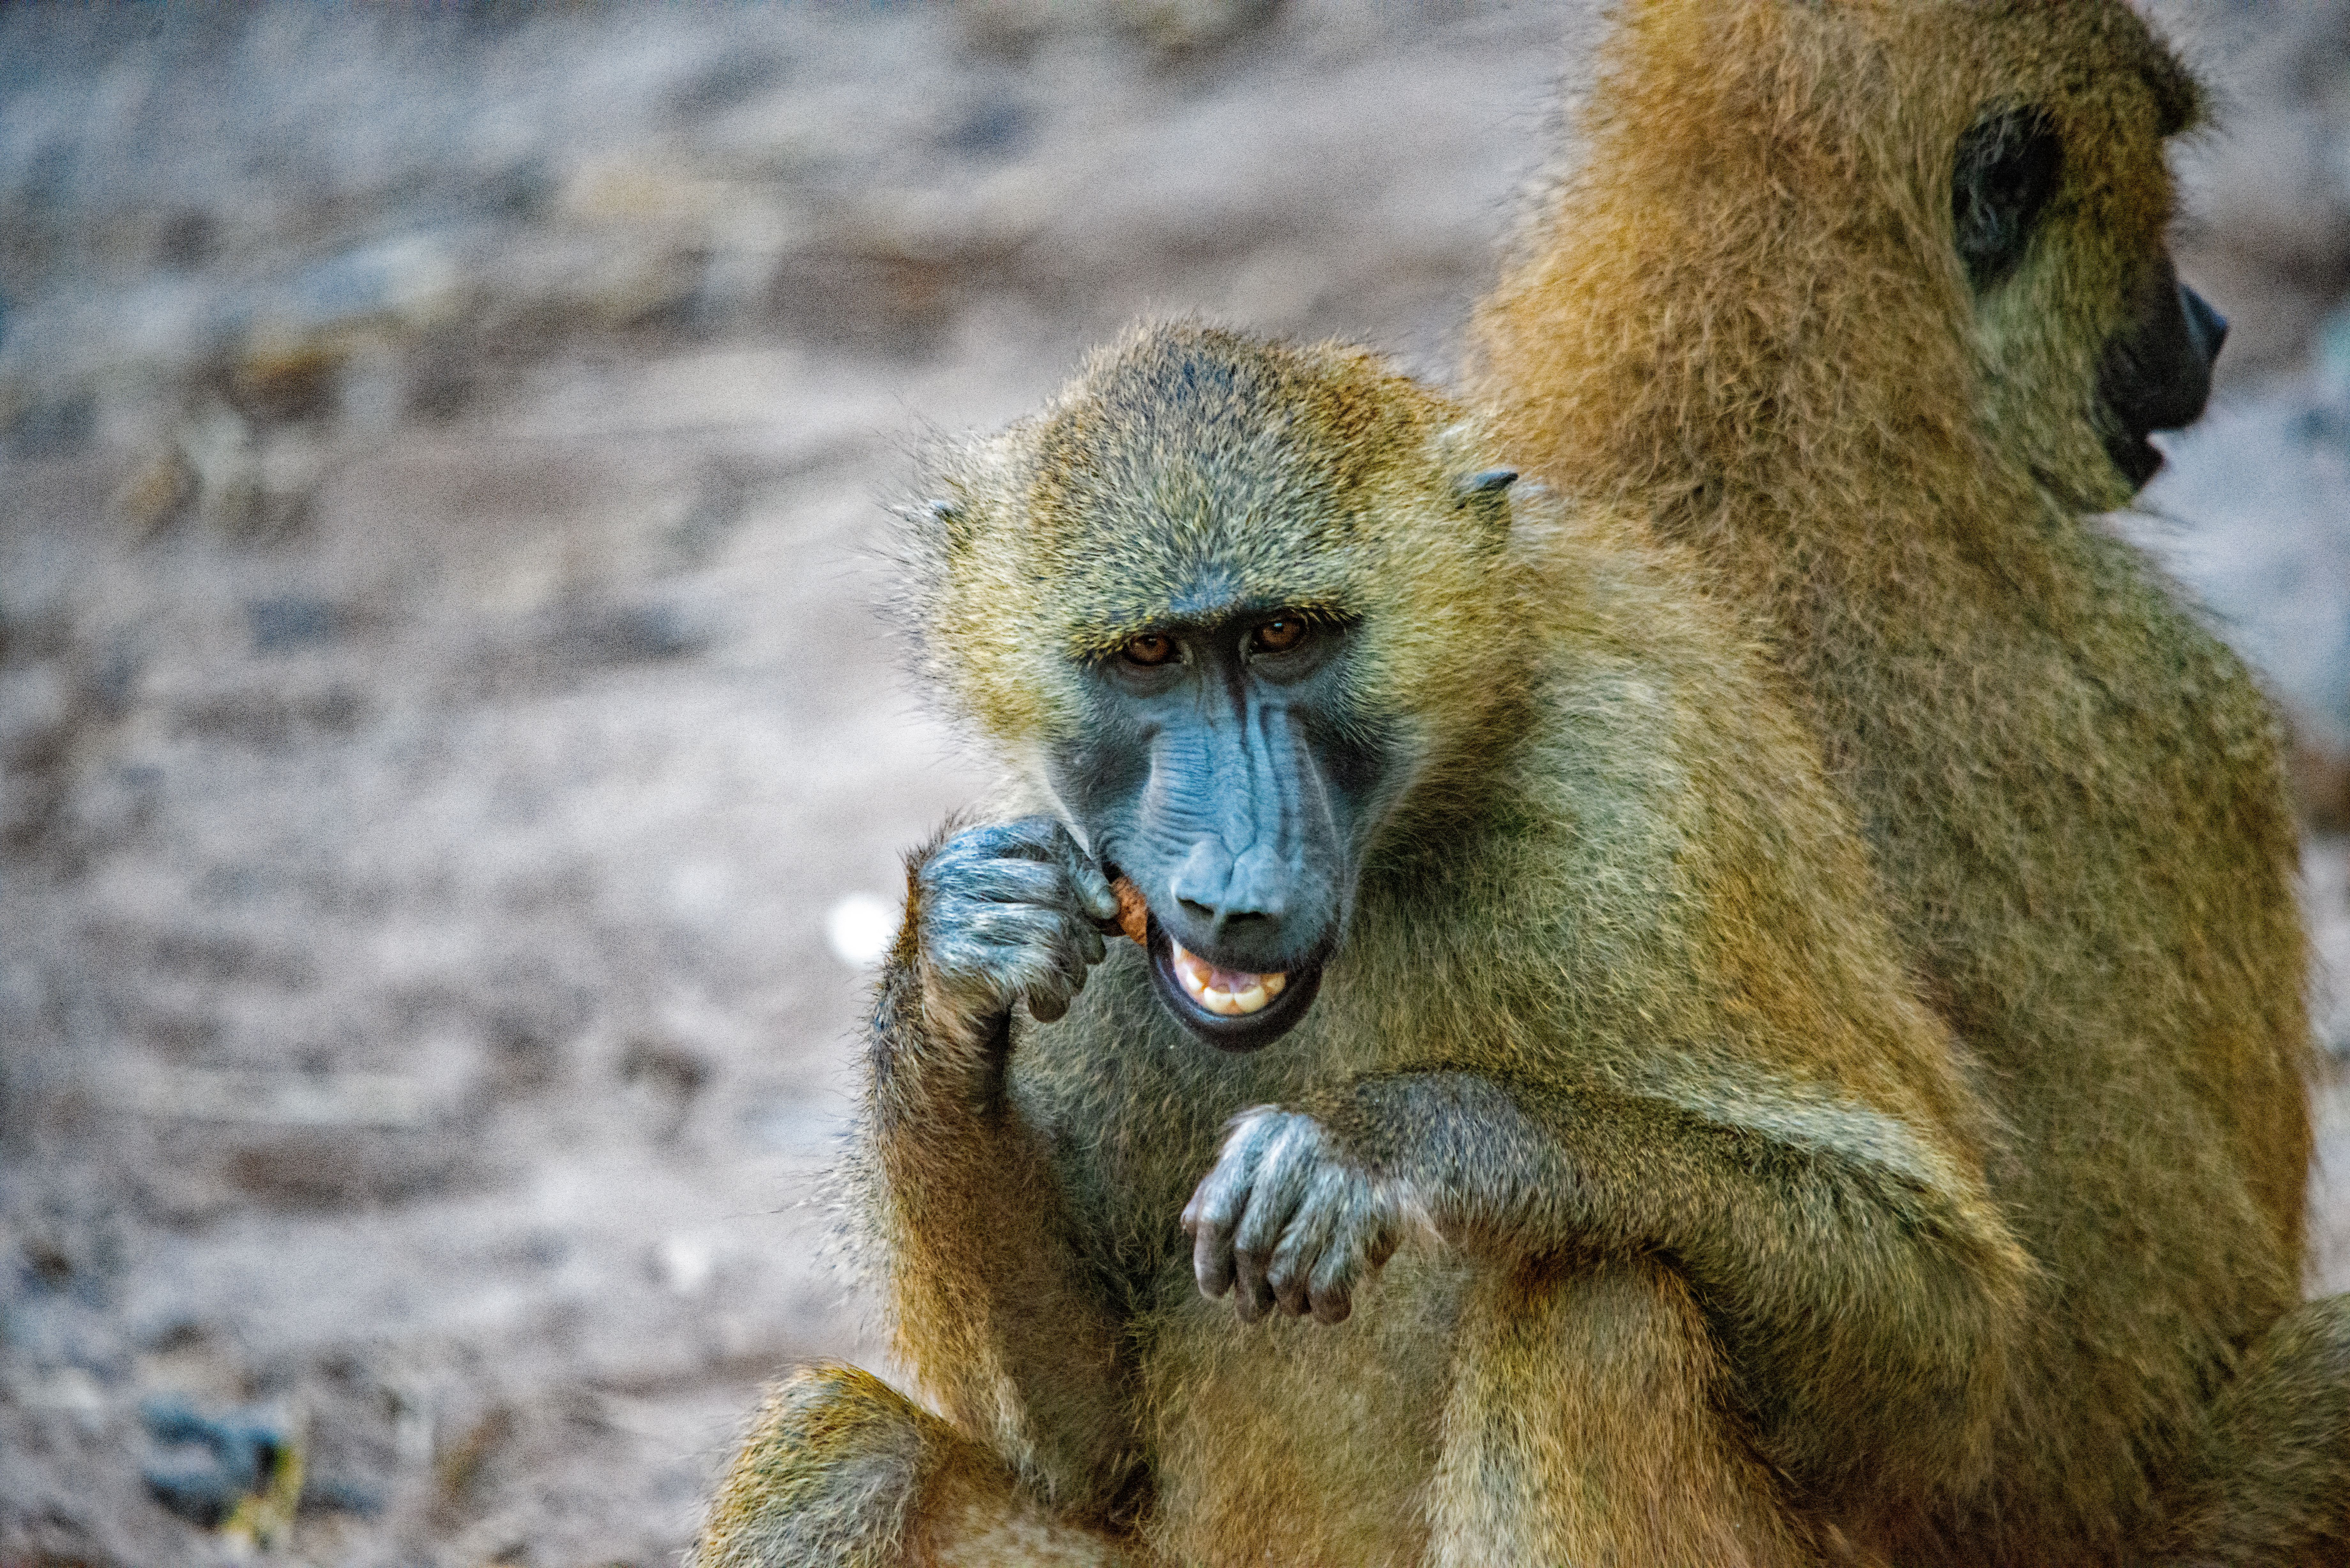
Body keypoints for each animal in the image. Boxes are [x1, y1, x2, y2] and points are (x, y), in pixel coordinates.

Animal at [694, 319, 2038, 1566]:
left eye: (1285, 637)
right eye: (1150, 655)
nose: (1234, 878)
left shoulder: (1649, 789)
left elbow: (1942, 1327)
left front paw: (1402, 1142)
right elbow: (1085, 1449)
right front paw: (956, 953)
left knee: (1596, 1314)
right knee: (842, 1446)